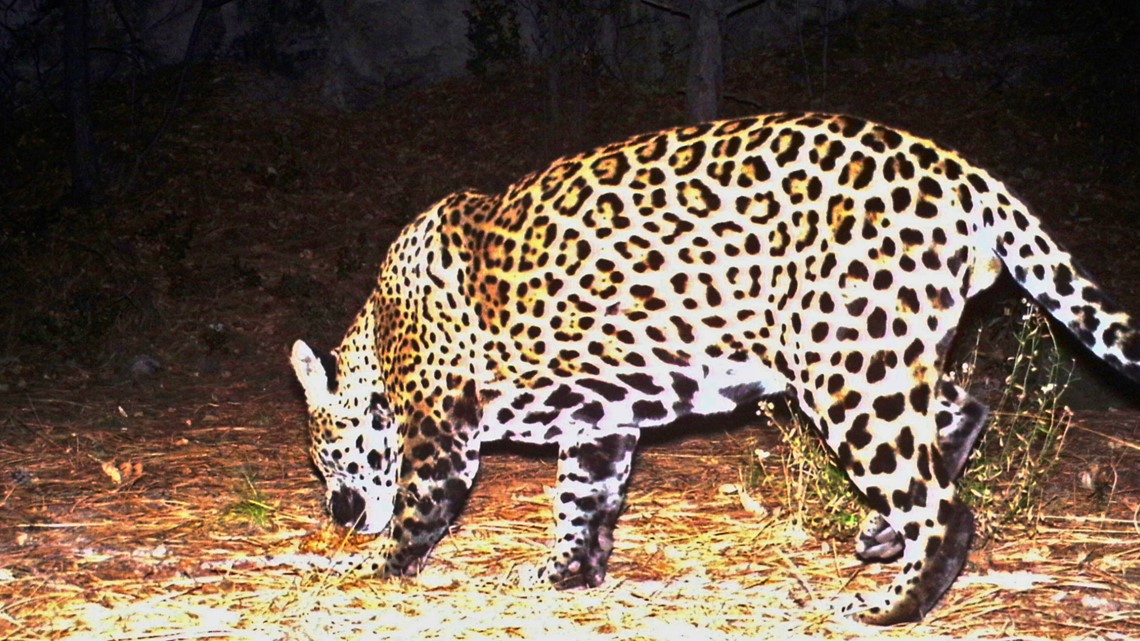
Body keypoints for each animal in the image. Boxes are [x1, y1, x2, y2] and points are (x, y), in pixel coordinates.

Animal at [290, 112, 1140, 625]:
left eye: (327, 455)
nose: (336, 510)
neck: (380, 332)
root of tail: (960, 170)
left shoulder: (440, 429)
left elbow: (418, 507)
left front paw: (366, 563)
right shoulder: (600, 420)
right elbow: (582, 500)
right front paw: (565, 573)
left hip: (847, 366)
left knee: (945, 506)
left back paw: (889, 606)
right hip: (889, 349)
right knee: (967, 403)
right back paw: (879, 535)